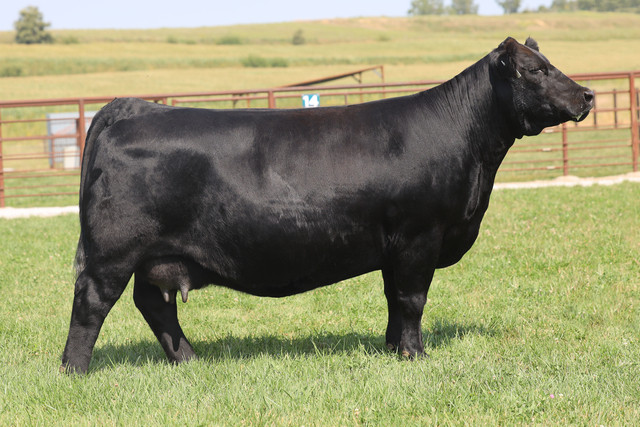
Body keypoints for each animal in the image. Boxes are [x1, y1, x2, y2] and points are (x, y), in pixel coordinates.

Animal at [61, 37, 593, 373]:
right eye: (536, 70)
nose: (587, 94)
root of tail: (133, 107)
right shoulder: (420, 236)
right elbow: (413, 299)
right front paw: (416, 356)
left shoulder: (393, 247)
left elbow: (393, 299)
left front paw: (391, 350)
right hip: (114, 252)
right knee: (92, 303)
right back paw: (75, 372)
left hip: (155, 257)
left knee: (155, 305)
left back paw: (189, 361)